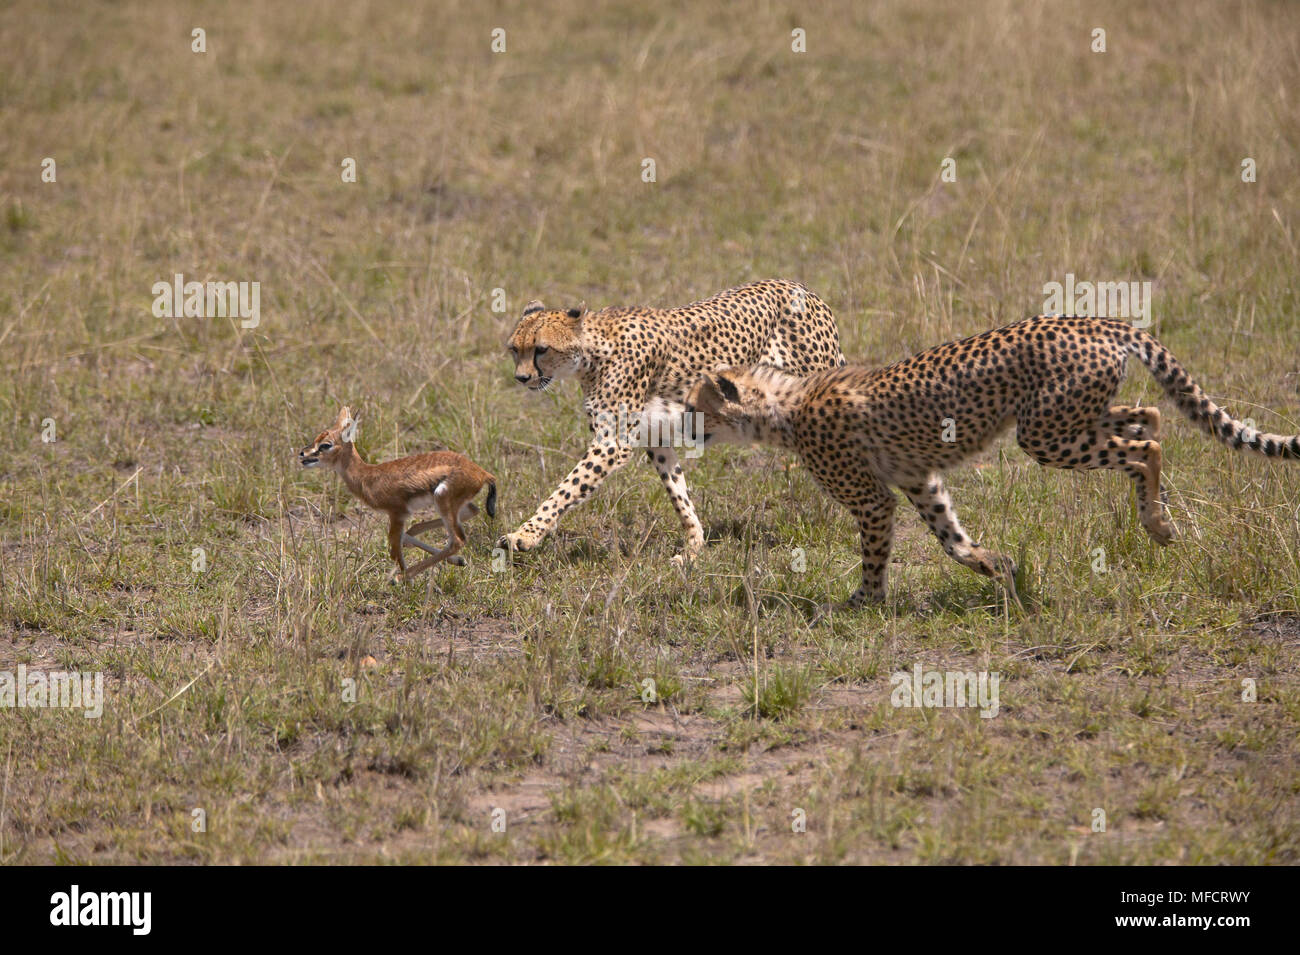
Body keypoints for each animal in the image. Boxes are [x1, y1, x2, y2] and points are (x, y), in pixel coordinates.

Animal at [298, 406, 497, 581]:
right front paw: (458, 561)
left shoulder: (397, 513)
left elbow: (395, 551)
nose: (303, 453)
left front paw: (403, 581)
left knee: (457, 540)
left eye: (325, 445)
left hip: (442, 499)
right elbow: (401, 541)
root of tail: (482, 473)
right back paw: (457, 560)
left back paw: (401, 578)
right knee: (471, 512)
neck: (367, 476)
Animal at [500, 279, 846, 563]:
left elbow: (566, 489)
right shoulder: (656, 435)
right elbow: (678, 492)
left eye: (542, 349)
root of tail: (799, 287)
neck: (591, 354)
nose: (521, 378)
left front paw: (525, 535)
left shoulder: (613, 443)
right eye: (515, 349)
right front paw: (693, 546)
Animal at [685, 314, 1300, 611]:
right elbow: (951, 539)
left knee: (1144, 447)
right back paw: (1160, 512)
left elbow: (875, 556)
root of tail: (1092, 320)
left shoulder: (874, 499)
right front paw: (995, 567)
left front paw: (863, 602)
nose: (683, 427)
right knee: (1149, 418)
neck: (782, 405)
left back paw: (1158, 524)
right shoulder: (919, 479)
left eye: (696, 407)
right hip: (1069, 418)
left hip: (1045, 435)